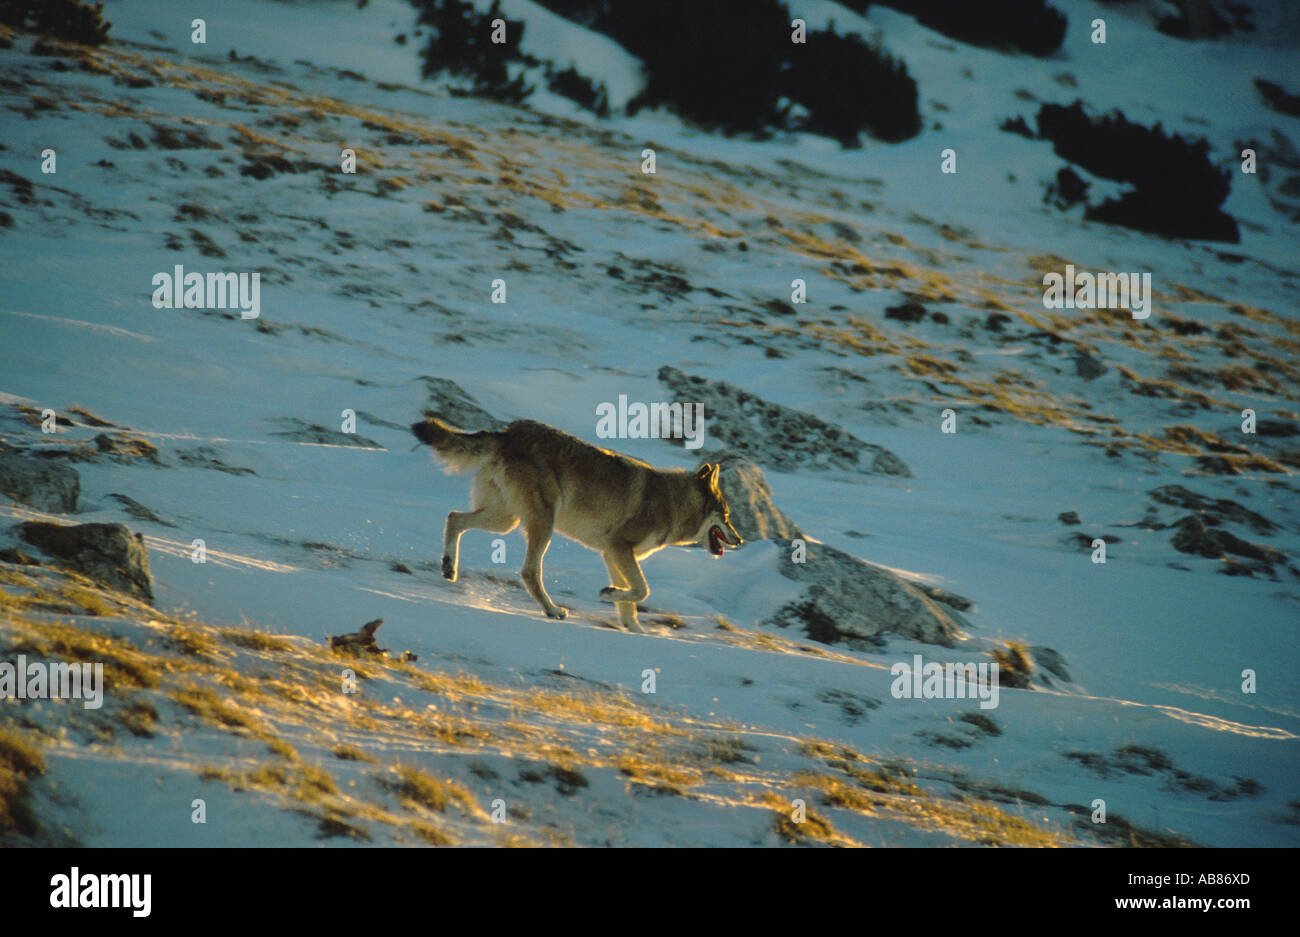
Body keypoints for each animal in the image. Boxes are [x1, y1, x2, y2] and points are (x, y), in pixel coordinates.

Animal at [410, 417, 743, 632]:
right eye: (727, 518)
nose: (740, 541)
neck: (672, 503)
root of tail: (508, 431)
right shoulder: (618, 548)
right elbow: (641, 590)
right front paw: (609, 594)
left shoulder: (611, 553)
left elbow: (631, 602)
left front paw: (634, 628)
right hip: (541, 525)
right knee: (529, 572)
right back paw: (552, 610)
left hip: (504, 521)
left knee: (453, 517)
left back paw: (448, 568)